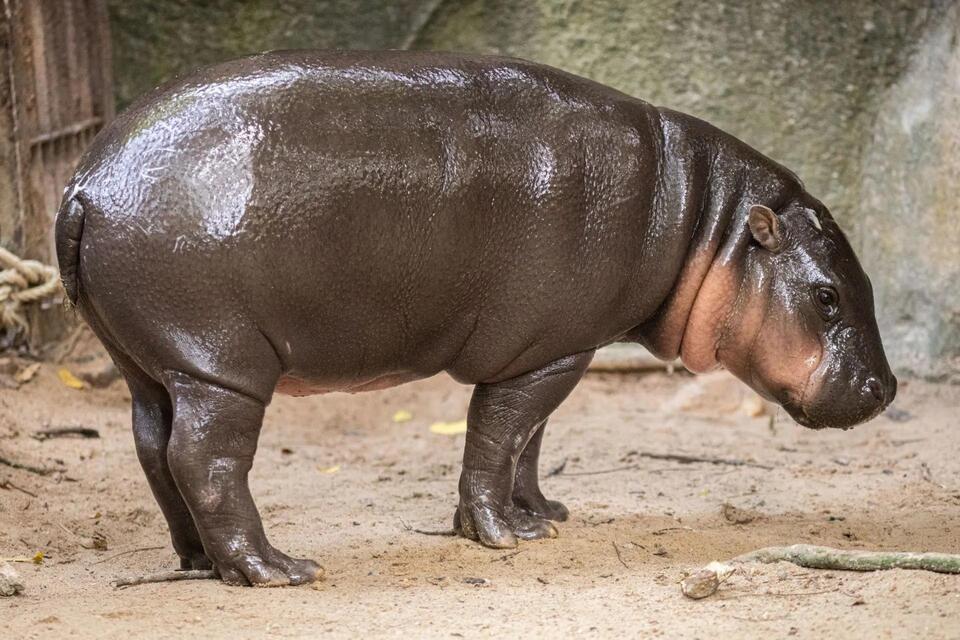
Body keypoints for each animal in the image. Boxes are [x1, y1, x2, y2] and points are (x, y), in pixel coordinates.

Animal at [55, 50, 895, 587]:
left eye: (863, 280)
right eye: (827, 295)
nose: (885, 389)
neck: (701, 220)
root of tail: (89, 178)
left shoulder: (558, 347)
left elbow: (530, 442)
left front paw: (544, 515)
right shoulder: (542, 352)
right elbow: (497, 437)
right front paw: (498, 536)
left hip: (150, 363)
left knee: (154, 448)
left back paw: (201, 561)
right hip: (219, 364)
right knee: (205, 459)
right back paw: (277, 571)